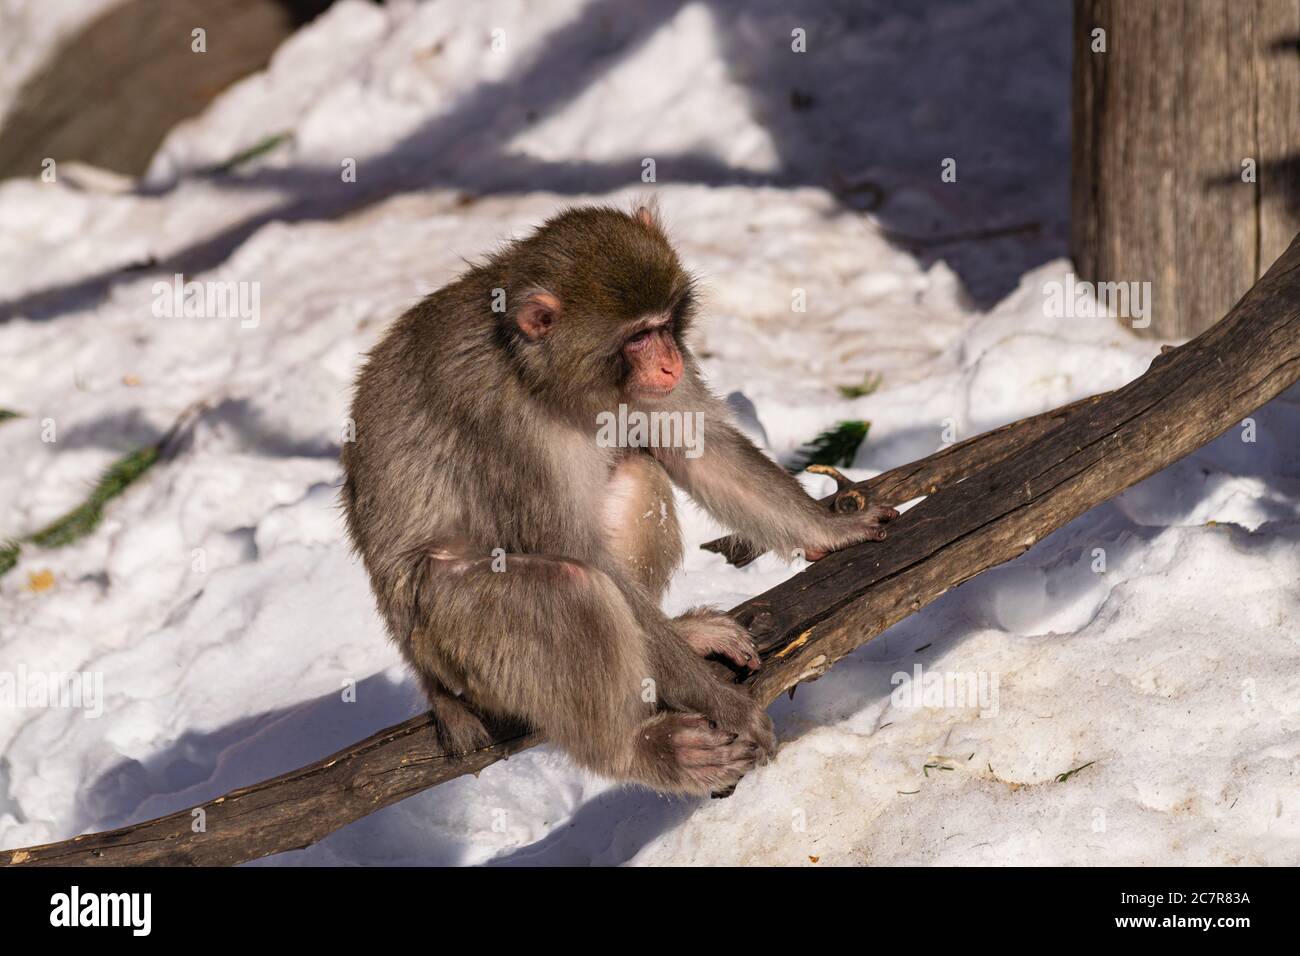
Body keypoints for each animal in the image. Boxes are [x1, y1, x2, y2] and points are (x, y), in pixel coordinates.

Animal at [341, 203, 897, 795]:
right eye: (636, 338)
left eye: (662, 325)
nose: (671, 362)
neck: (538, 371)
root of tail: (427, 677)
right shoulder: (499, 420)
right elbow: (580, 554)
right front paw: (723, 704)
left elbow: (697, 449)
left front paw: (831, 530)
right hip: (456, 647)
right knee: (570, 585)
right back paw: (633, 748)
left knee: (639, 475)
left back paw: (681, 636)